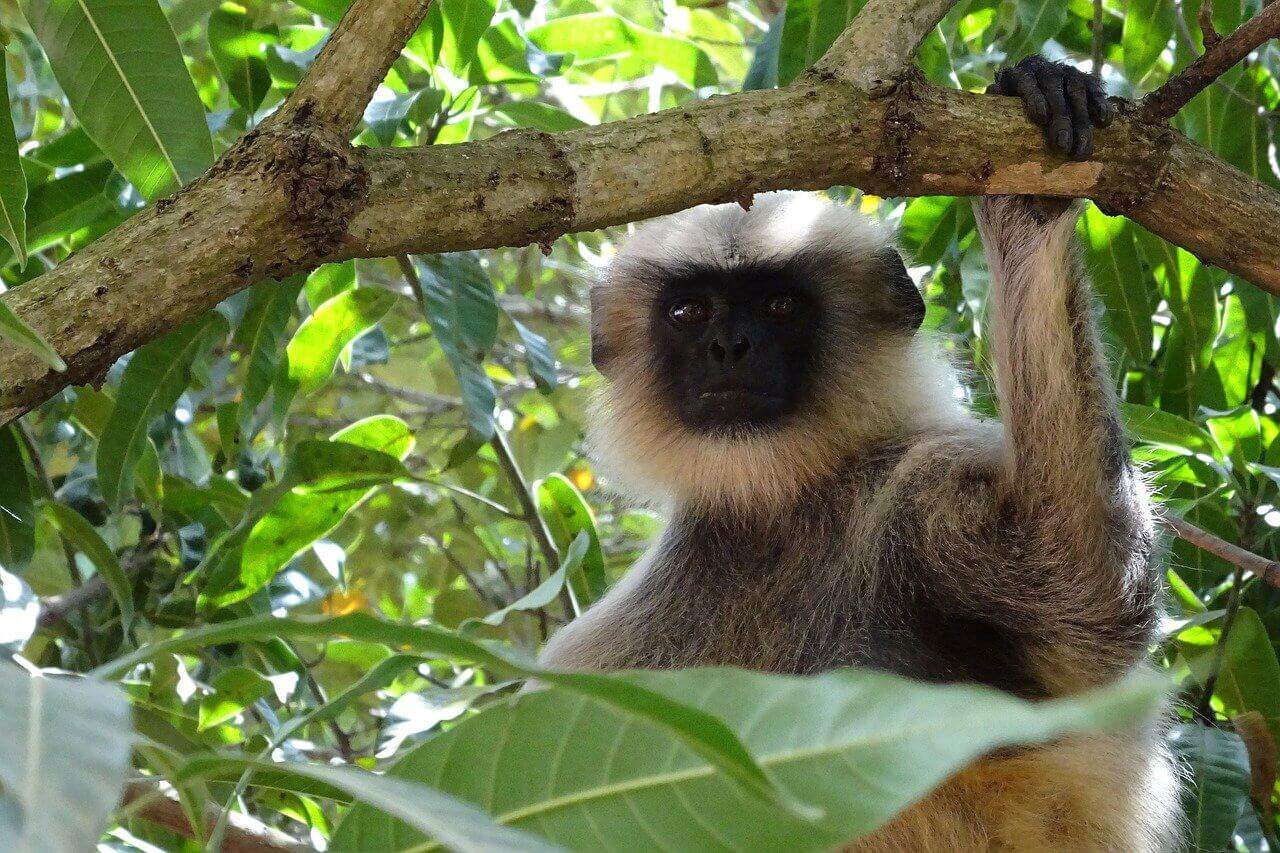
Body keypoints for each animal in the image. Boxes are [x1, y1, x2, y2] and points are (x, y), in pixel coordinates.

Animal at [539, 56, 1181, 851]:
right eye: (690, 313)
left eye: (780, 306)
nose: (729, 346)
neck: (779, 513)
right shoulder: (599, 660)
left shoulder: (916, 487)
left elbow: (1088, 600)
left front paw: (1028, 201)